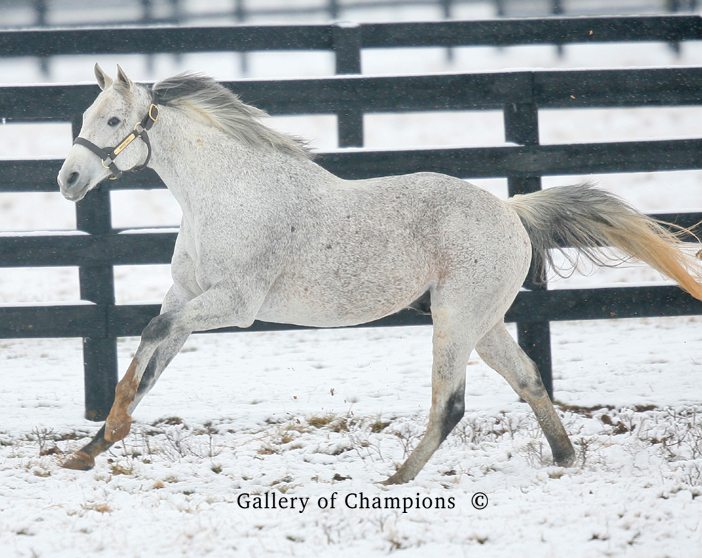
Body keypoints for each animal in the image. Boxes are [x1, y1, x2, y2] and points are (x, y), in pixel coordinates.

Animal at [56, 64, 702, 484]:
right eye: (86, 115)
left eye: (114, 120)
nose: (68, 180)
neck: (226, 193)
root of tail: (511, 211)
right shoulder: (186, 296)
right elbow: (151, 363)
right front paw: (90, 448)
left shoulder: (234, 305)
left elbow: (149, 337)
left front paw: (111, 429)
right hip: (481, 322)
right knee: (528, 379)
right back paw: (565, 460)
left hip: (454, 320)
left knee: (451, 404)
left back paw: (396, 479)